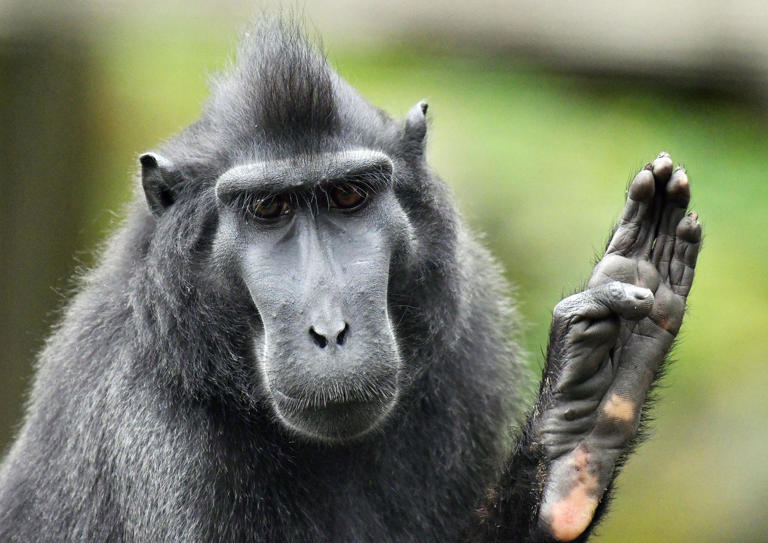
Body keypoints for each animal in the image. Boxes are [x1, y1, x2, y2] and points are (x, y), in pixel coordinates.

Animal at [0, 19, 701, 542]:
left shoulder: (464, 358)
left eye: (347, 197)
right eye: (268, 209)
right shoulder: (159, 445)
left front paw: (578, 435)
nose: (332, 330)